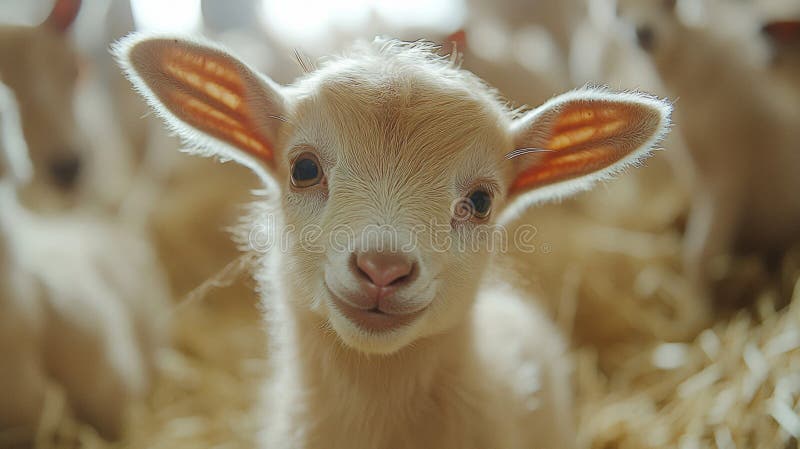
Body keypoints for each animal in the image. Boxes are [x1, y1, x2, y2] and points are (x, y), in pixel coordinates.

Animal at [616, 0, 800, 291]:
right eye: (616, 9)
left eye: (670, 4)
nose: (644, 34)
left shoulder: (727, 173)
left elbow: (700, 252)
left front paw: (696, 301)